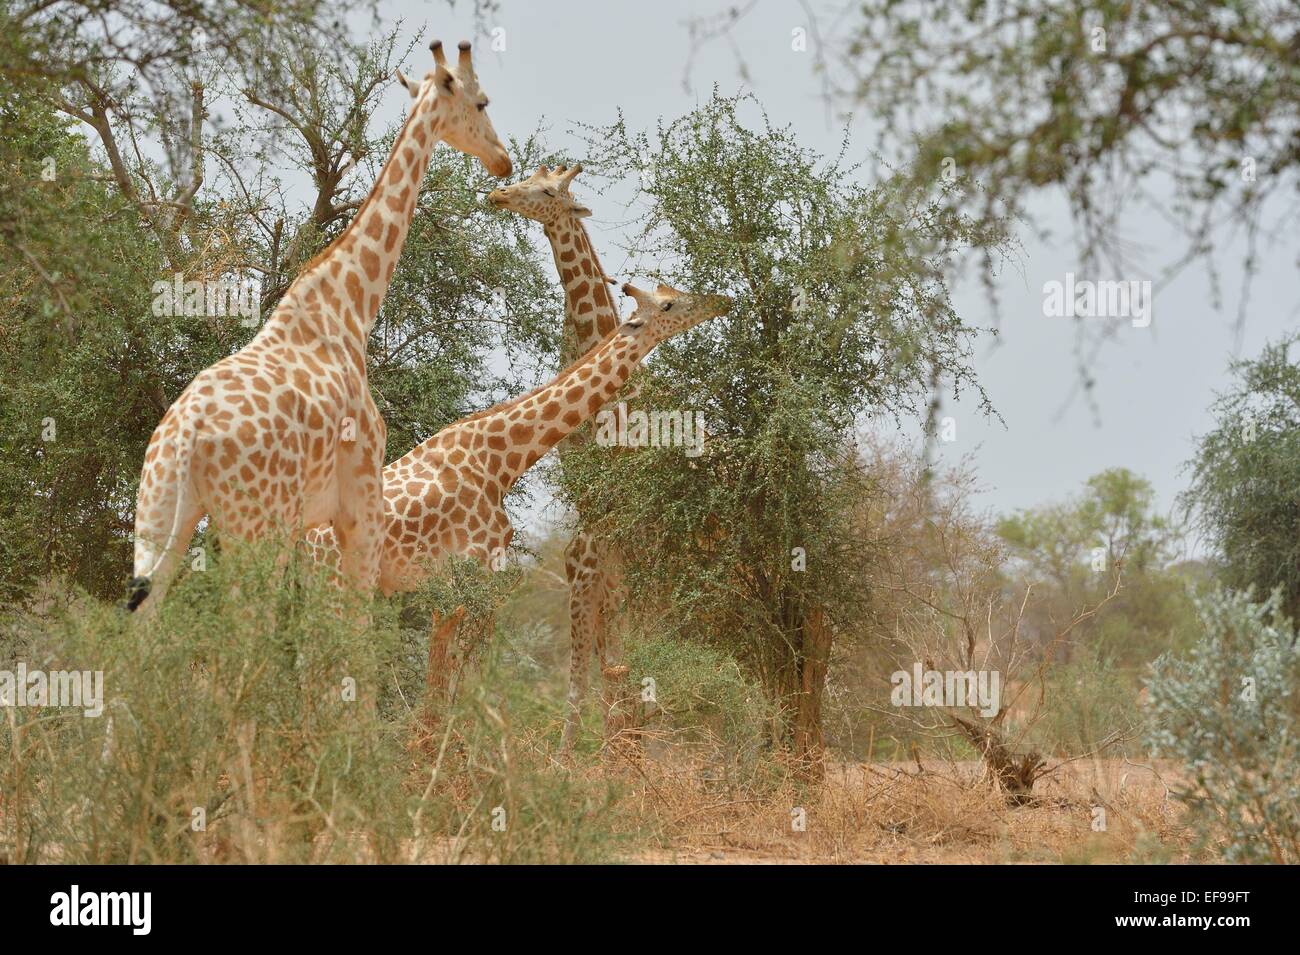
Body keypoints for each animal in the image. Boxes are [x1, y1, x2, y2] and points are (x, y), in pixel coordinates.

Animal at [126, 39, 512, 613]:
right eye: (482, 101)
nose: (502, 159)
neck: (348, 306)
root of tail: (187, 436)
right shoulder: (361, 505)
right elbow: (355, 622)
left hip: (159, 515)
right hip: (257, 523)